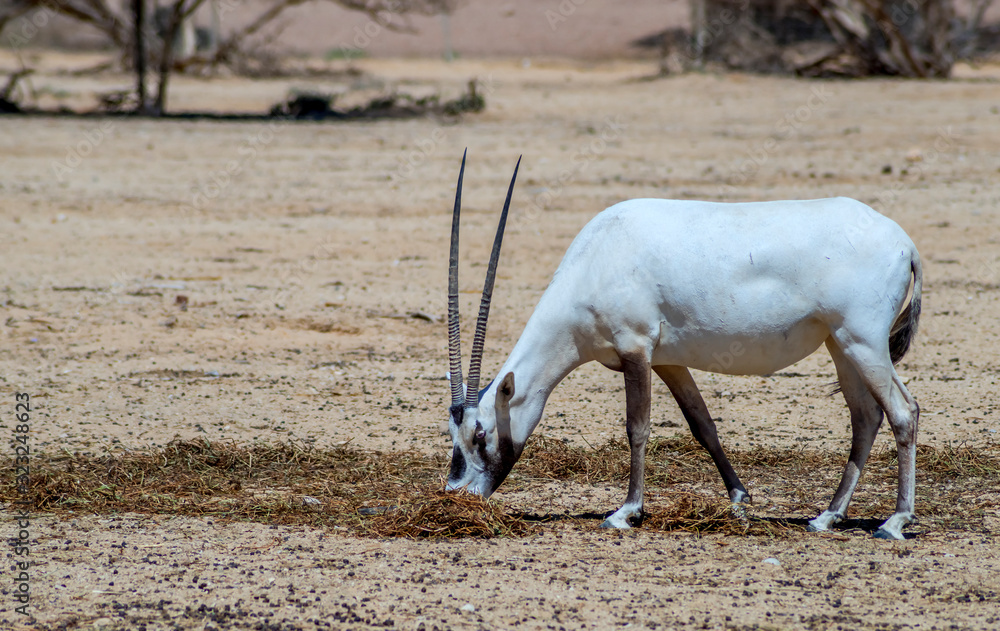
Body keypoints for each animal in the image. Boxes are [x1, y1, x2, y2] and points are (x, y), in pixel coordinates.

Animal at [445, 152, 922, 540]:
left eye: (480, 433)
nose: (456, 494)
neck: (596, 260)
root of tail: (905, 243)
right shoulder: (667, 362)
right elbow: (702, 424)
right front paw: (739, 499)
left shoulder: (635, 348)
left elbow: (637, 428)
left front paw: (626, 512)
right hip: (843, 346)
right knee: (867, 417)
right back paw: (827, 517)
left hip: (862, 342)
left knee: (903, 411)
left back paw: (895, 522)